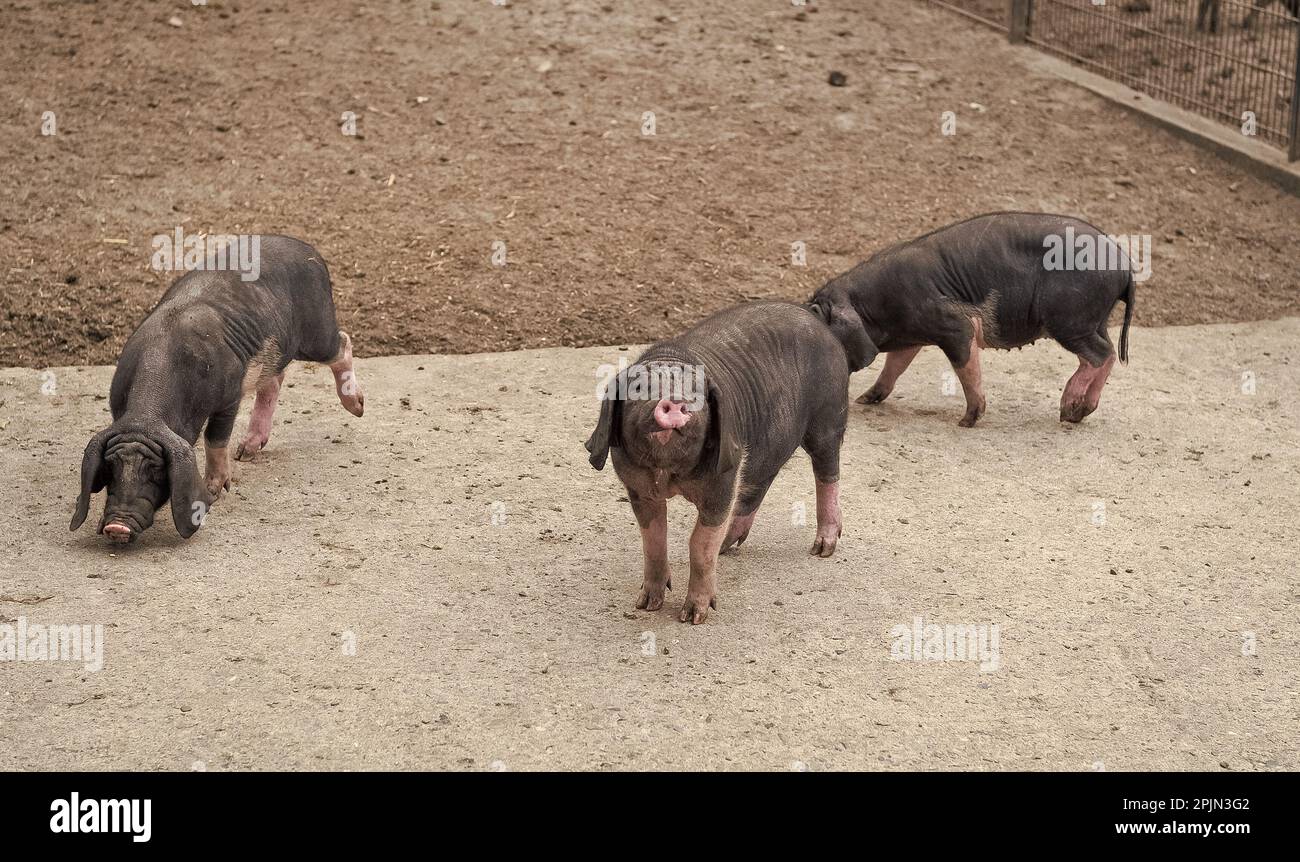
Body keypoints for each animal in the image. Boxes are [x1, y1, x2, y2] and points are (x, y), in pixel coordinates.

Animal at [70, 235, 364, 543]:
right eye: (111, 470)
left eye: (155, 472)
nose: (117, 527)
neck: (146, 413)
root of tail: (309, 249)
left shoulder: (229, 397)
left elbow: (215, 438)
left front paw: (214, 492)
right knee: (274, 380)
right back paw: (246, 452)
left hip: (315, 333)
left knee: (342, 343)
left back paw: (357, 407)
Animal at [585, 302, 849, 625]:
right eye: (639, 389)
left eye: (696, 392)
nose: (674, 401)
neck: (669, 472)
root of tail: (817, 320)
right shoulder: (638, 488)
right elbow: (654, 539)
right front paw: (645, 605)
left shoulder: (723, 475)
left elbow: (699, 543)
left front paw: (693, 617)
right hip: (767, 448)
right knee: (759, 484)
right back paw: (727, 546)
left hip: (828, 416)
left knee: (827, 472)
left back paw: (822, 549)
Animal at [809, 212, 1136, 427]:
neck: (873, 307)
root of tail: (1124, 264)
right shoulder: (912, 336)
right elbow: (895, 366)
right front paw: (865, 399)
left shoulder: (953, 327)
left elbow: (966, 367)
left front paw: (966, 421)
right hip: (1094, 320)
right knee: (1106, 353)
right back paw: (1077, 414)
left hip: (1069, 319)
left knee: (1100, 355)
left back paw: (1066, 412)